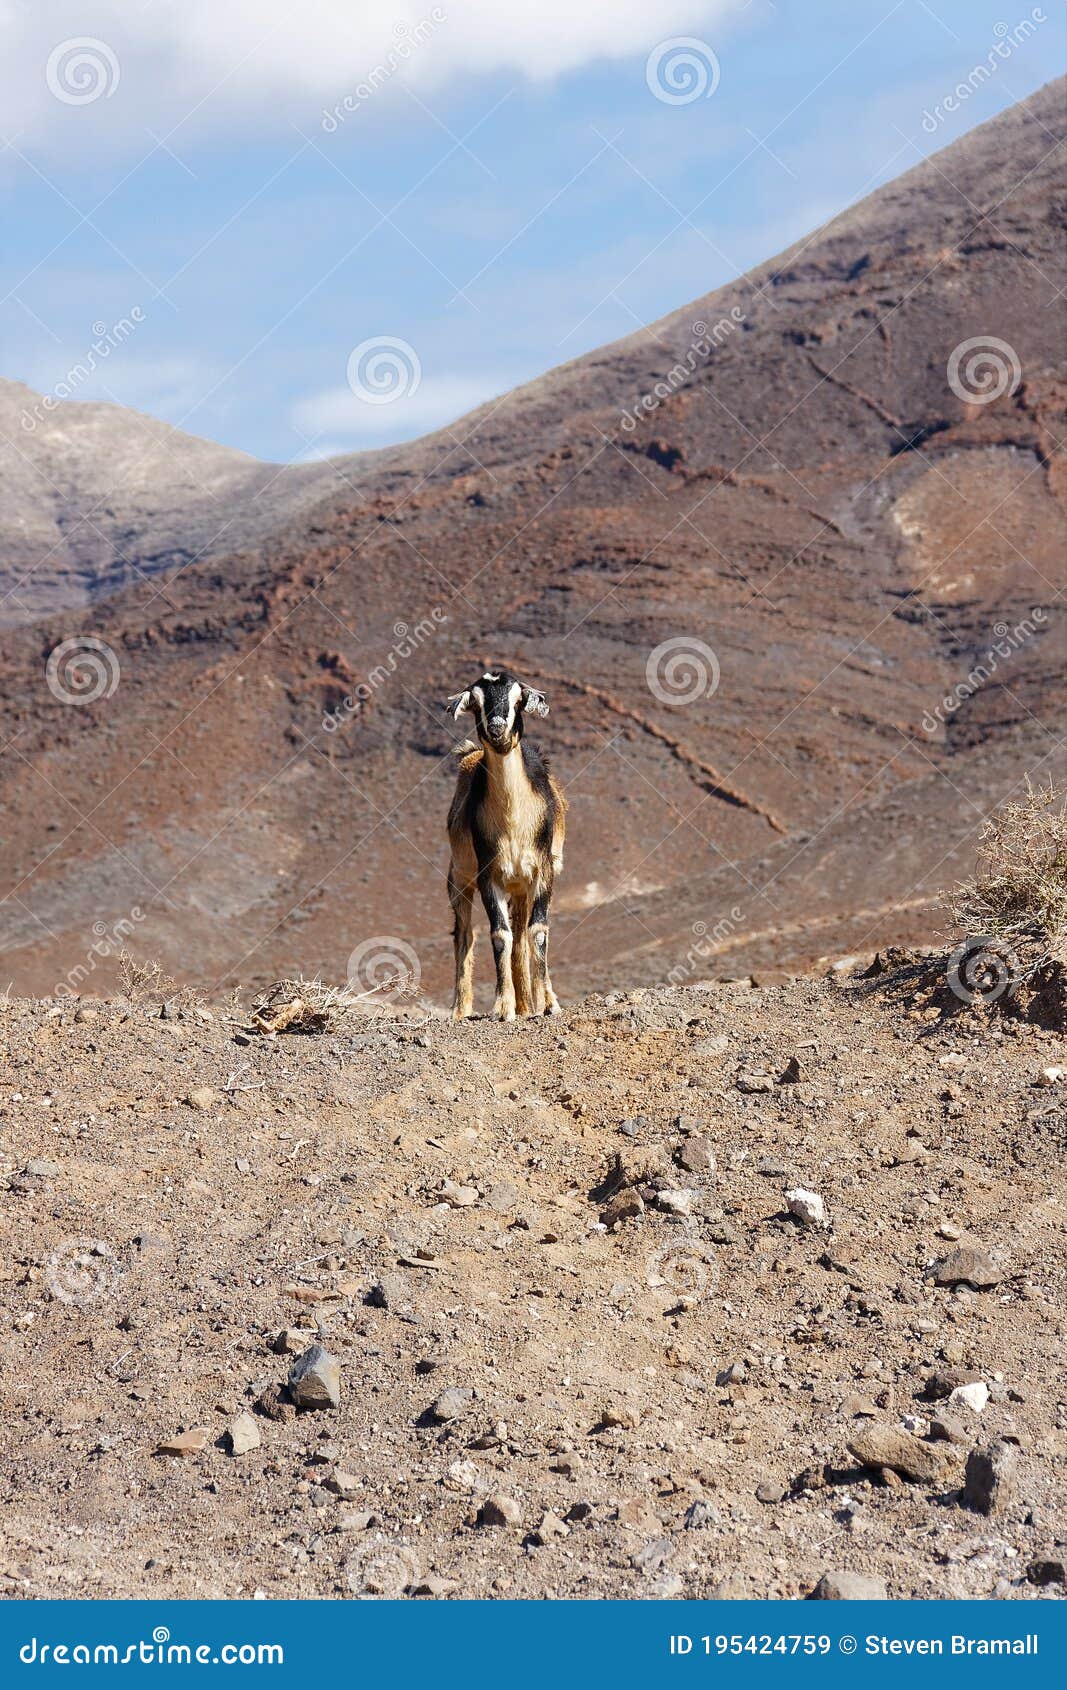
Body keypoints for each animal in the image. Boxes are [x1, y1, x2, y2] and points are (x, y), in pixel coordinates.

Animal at [446, 669, 566, 1022]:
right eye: (476, 701)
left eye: (518, 699)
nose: (497, 728)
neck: (513, 820)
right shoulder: (489, 876)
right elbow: (499, 935)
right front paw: (502, 1007)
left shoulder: (542, 872)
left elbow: (537, 931)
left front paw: (548, 1003)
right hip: (459, 880)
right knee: (465, 935)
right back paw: (461, 1009)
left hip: (520, 887)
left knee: (521, 936)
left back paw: (528, 1003)